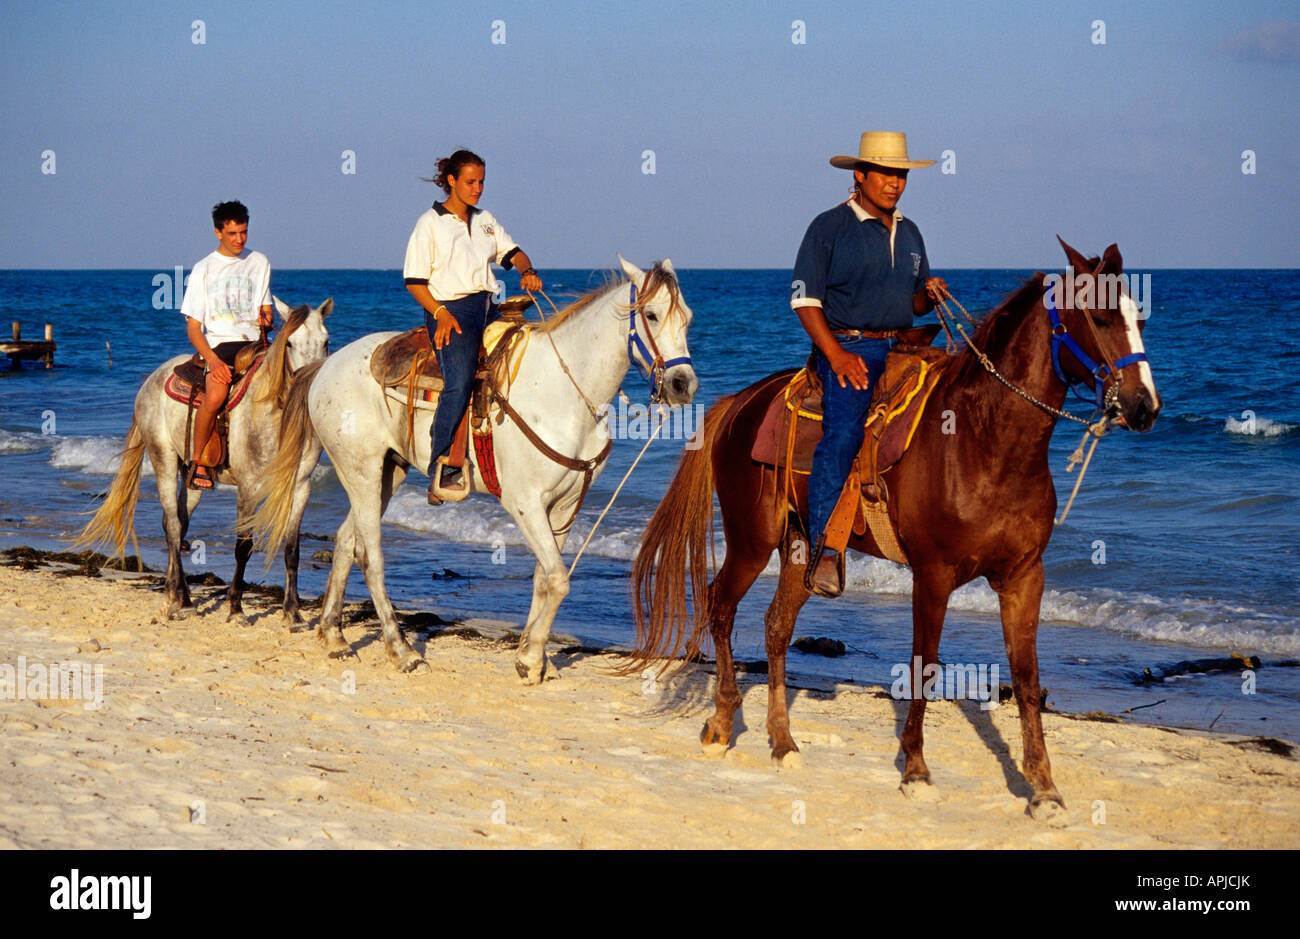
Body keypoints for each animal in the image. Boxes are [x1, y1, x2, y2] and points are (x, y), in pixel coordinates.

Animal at [77, 297, 332, 622]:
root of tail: (152, 379)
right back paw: (182, 600)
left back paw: (175, 594)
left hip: (192, 477)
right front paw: (235, 607)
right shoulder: (248, 487)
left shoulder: (300, 486)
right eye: (290, 343)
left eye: (326, 341)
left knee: (176, 523)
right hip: (163, 459)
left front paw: (293, 614)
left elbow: (292, 549)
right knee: (174, 527)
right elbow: (243, 547)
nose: (309, 384)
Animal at [250, 257, 697, 683]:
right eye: (652, 314)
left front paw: (533, 657)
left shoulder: (565, 507)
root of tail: (322, 369)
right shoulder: (524, 503)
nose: (683, 384)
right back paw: (402, 651)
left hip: (386, 473)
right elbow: (558, 578)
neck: (563, 392)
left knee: (346, 541)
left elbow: (544, 578)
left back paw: (334, 635)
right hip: (359, 469)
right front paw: (530, 660)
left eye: (688, 317)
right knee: (370, 555)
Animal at [627, 239, 1161, 820]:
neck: (985, 440)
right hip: (752, 541)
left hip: (802, 546)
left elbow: (1026, 678)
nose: (1145, 406)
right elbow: (923, 667)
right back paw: (723, 724)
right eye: (1102, 318)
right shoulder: (933, 574)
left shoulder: (1024, 577)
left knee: (776, 628)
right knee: (720, 607)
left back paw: (783, 743)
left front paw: (1043, 790)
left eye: (1138, 317)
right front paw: (917, 771)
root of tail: (740, 403)